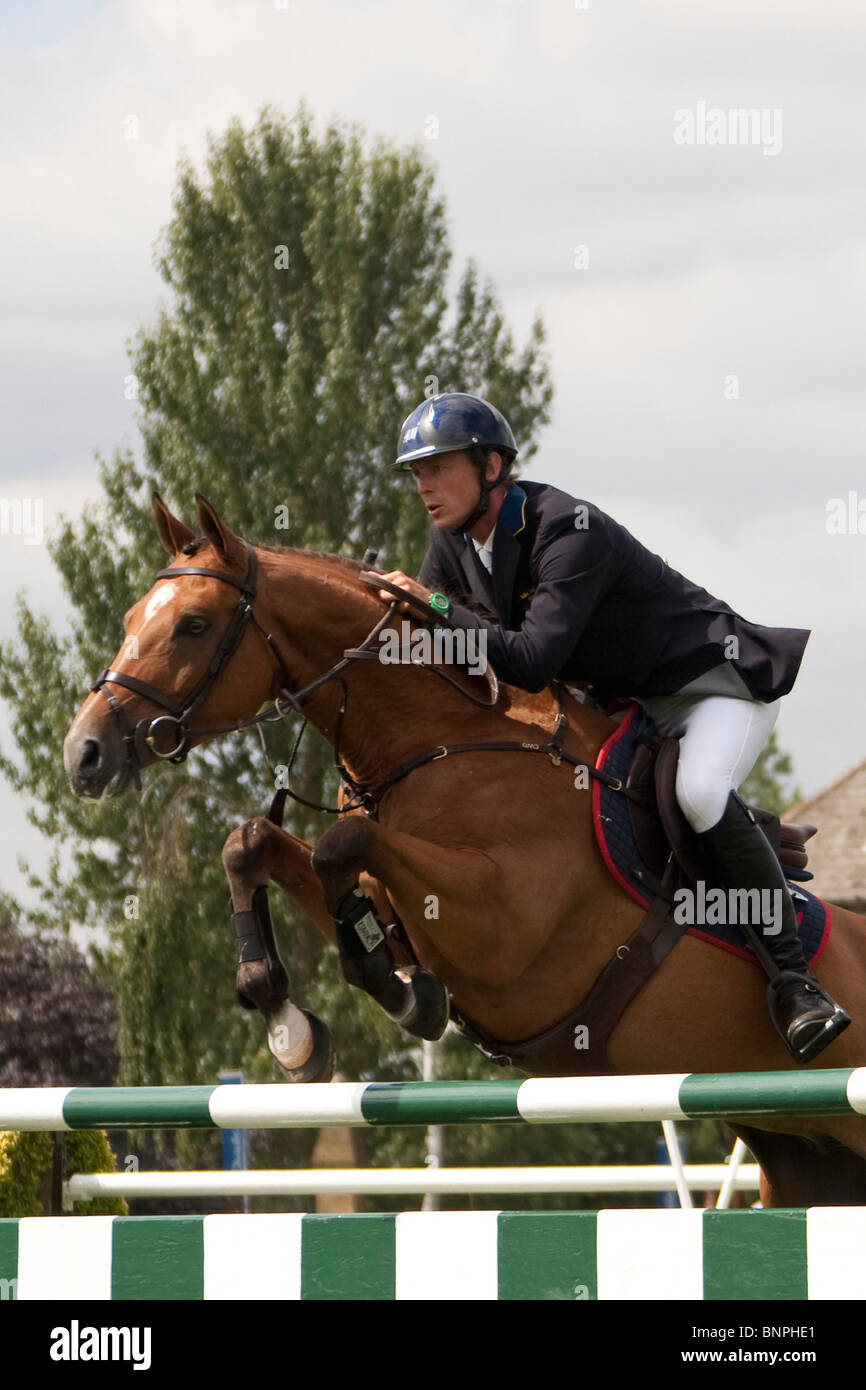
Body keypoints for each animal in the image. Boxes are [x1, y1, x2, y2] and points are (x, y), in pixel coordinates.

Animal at [63, 494, 866, 1206]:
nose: (85, 754)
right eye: (132, 620)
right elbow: (256, 843)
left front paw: (395, 995)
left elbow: (341, 843)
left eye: (193, 625)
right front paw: (292, 1023)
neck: (435, 742)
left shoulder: (504, 928)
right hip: (805, 1159)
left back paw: (806, 1008)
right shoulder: (400, 899)